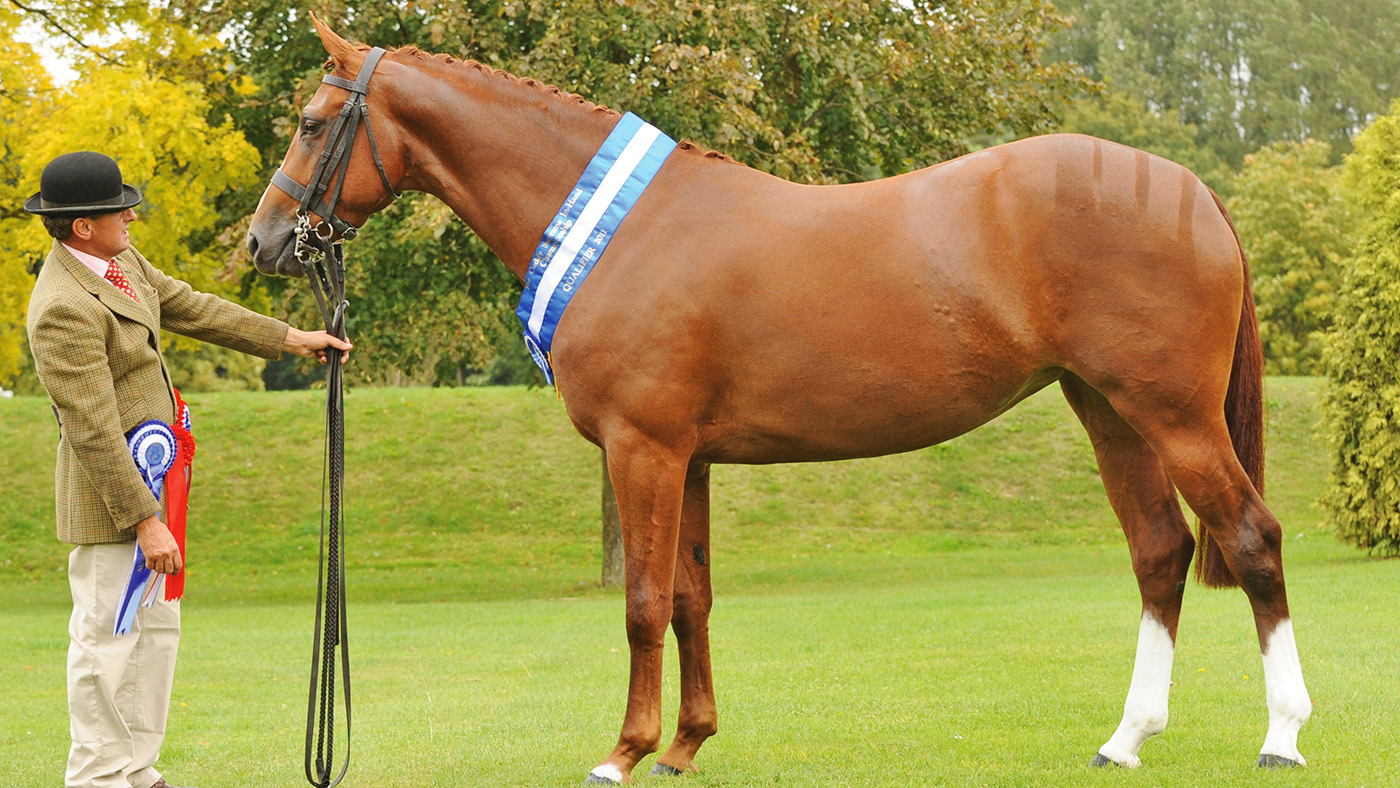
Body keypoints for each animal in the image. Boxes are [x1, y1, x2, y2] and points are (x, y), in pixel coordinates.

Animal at [247, 17, 1312, 784]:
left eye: (311, 123)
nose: (262, 243)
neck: (619, 229)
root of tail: (1190, 188)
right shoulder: (690, 458)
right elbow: (691, 597)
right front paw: (685, 746)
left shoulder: (643, 449)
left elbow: (642, 602)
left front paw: (623, 752)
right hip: (1109, 412)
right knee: (1161, 553)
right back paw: (1126, 739)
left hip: (1173, 417)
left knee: (1251, 538)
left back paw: (1282, 736)